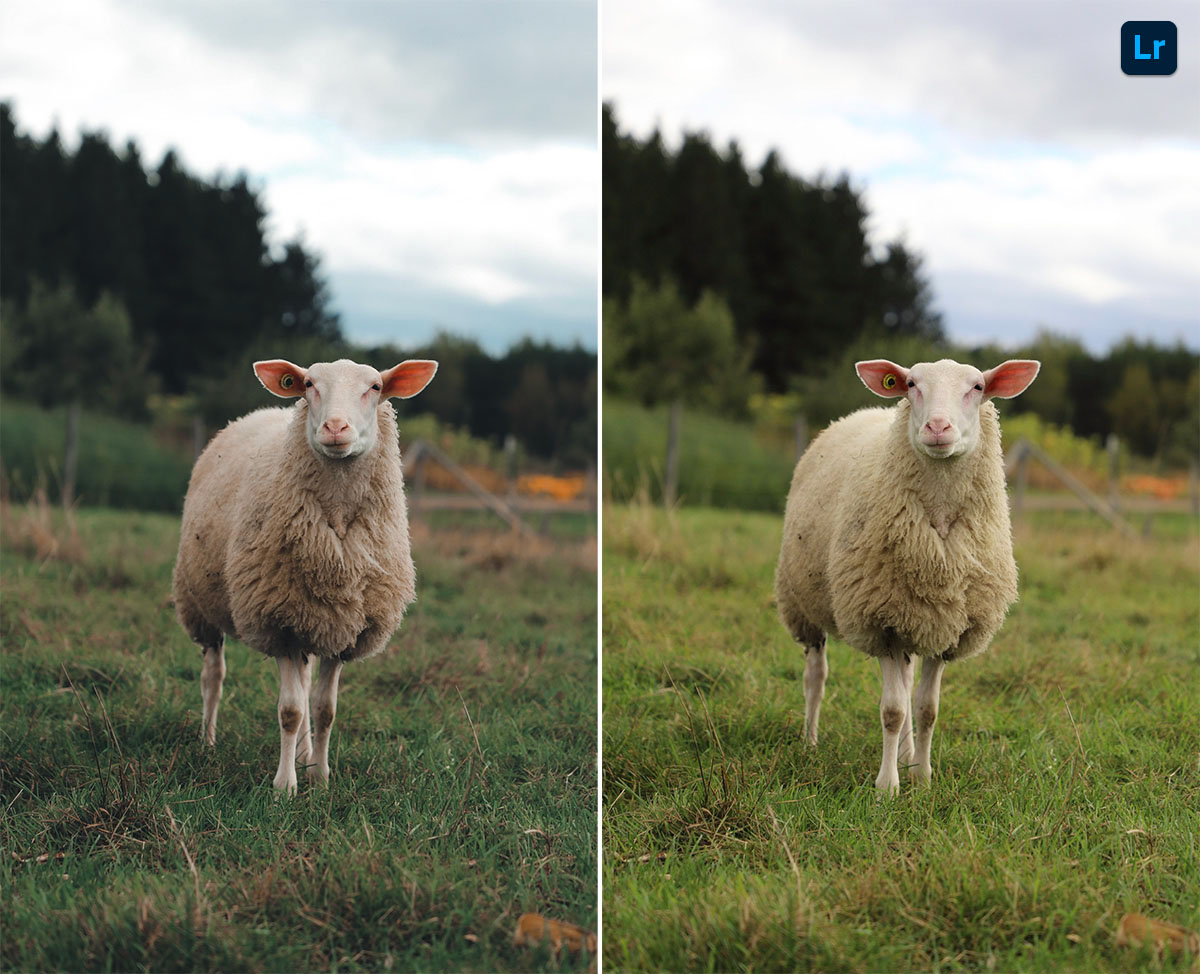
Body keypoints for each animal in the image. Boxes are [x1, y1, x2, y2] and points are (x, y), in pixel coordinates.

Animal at [172, 356, 437, 793]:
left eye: (375, 387)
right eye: (309, 384)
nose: (335, 427)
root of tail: (257, 412)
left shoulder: (344, 629)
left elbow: (324, 708)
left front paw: (321, 775)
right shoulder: (279, 625)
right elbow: (291, 711)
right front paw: (285, 786)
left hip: (314, 618)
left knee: (305, 681)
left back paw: (304, 753)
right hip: (200, 604)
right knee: (213, 675)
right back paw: (207, 741)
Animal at [774, 357, 1039, 792]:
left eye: (978, 387)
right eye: (911, 384)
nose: (937, 427)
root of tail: (858, 413)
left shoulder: (948, 628)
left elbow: (926, 708)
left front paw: (922, 776)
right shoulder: (882, 624)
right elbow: (893, 710)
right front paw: (888, 786)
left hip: (916, 616)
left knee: (907, 679)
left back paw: (907, 753)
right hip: (802, 604)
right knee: (815, 676)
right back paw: (809, 741)